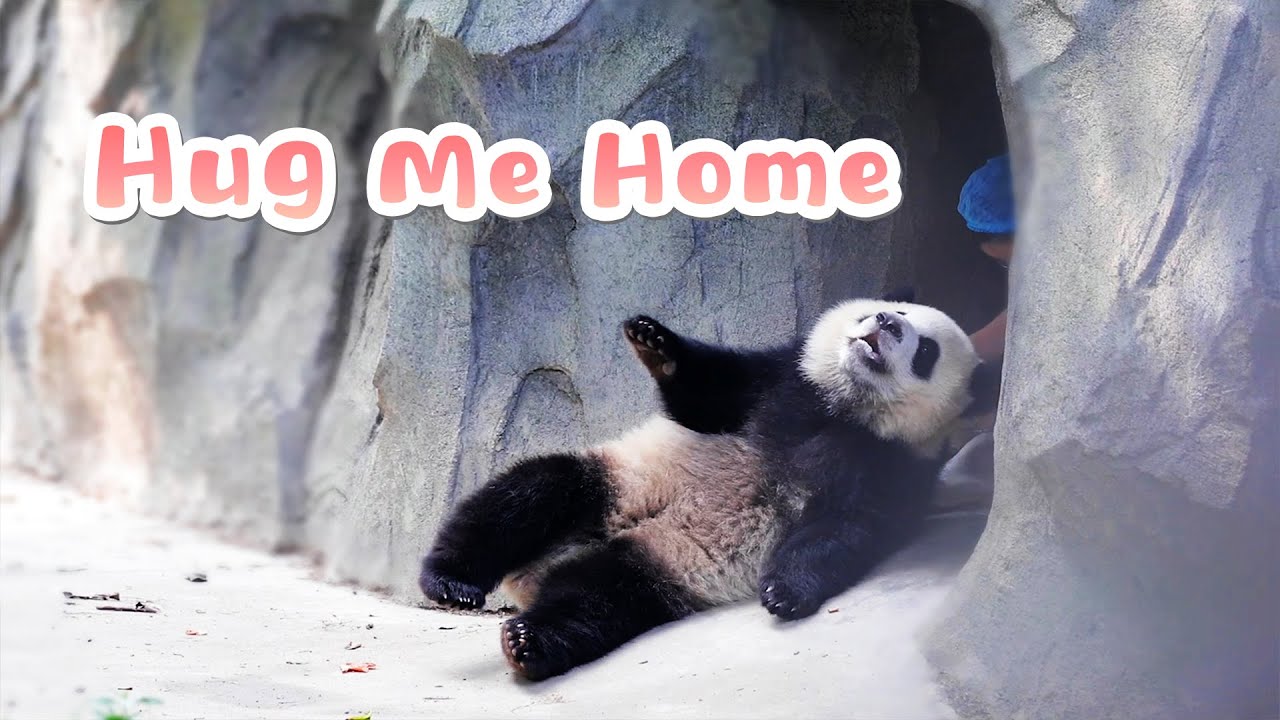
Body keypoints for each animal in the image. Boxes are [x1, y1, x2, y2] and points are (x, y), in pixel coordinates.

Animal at [418, 289, 993, 681]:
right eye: (887, 308)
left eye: (926, 352)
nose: (886, 321)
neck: (846, 410)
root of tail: (535, 575)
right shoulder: (776, 383)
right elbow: (704, 395)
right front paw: (654, 342)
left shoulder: (889, 468)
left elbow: (844, 529)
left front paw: (784, 592)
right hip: (620, 480)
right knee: (533, 494)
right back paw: (451, 582)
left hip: (660, 564)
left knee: (596, 599)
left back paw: (527, 641)